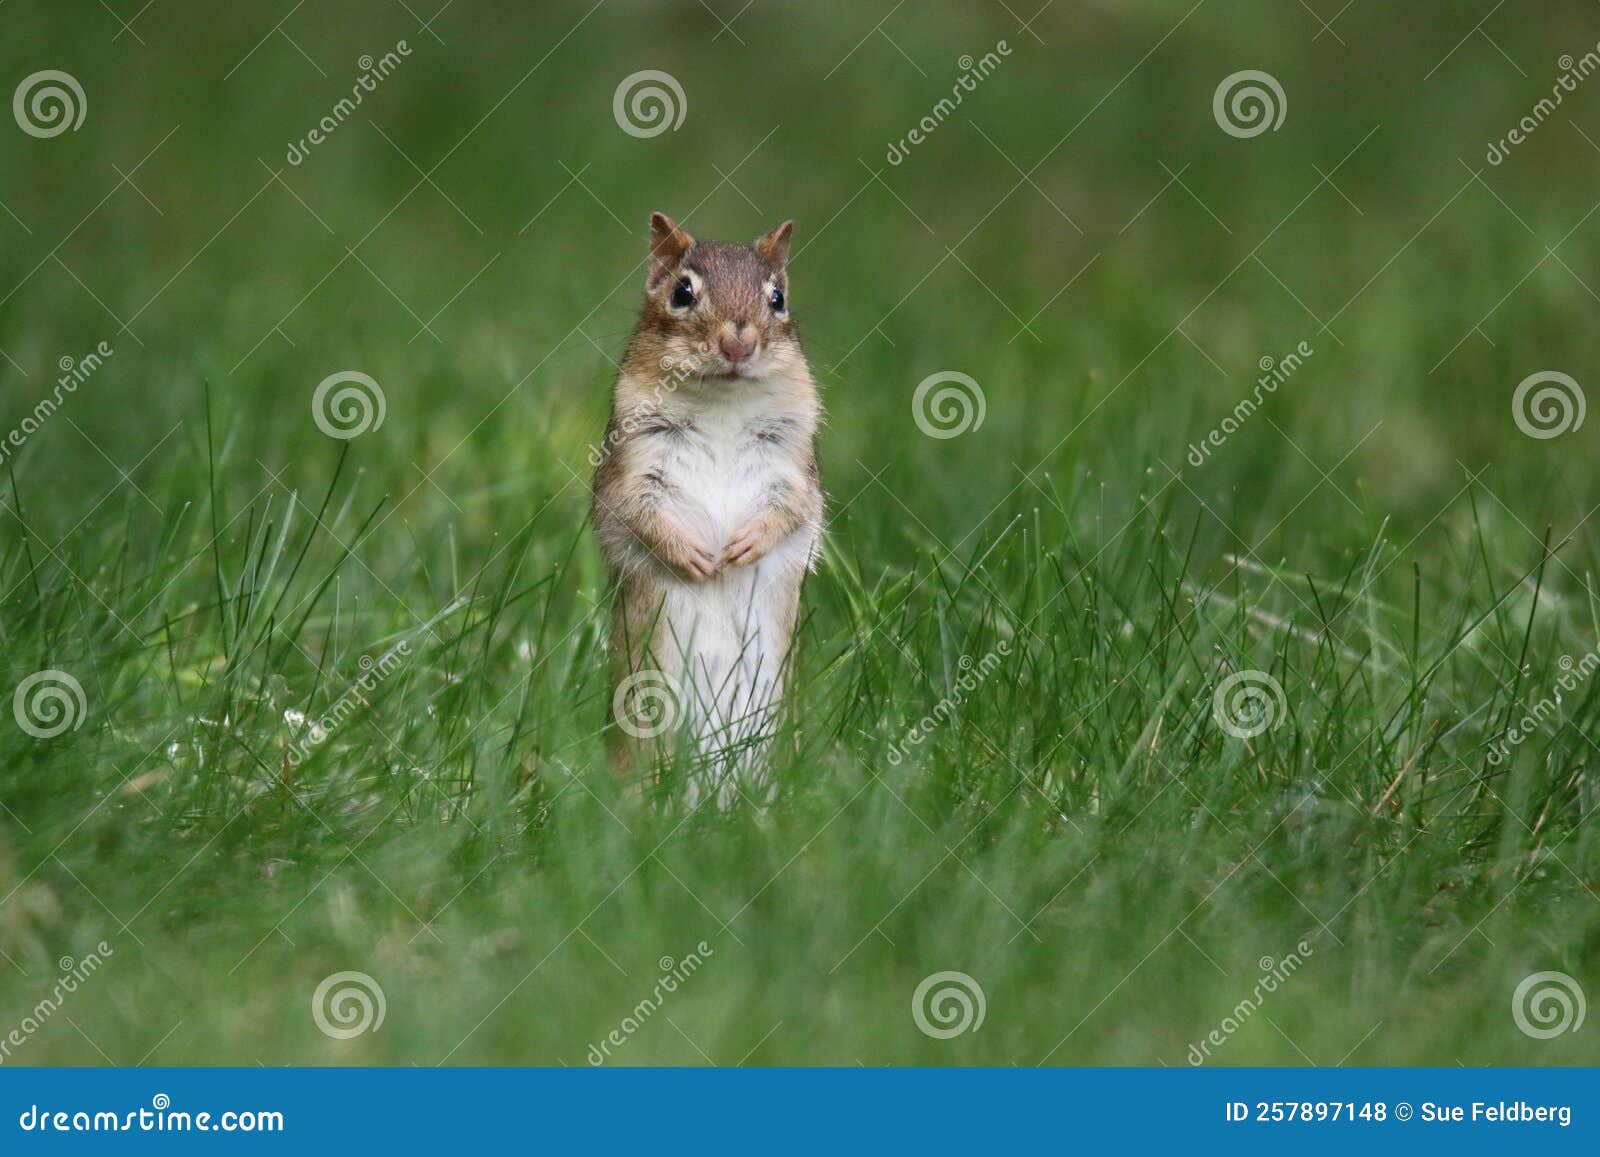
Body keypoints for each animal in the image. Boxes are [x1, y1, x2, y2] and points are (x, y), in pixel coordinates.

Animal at [592, 212, 824, 807]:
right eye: (682, 292)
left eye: (777, 298)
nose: (738, 342)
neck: (723, 404)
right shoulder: (632, 467)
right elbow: (637, 512)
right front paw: (692, 556)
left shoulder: (794, 468)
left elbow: (792, 509)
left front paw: (746, 545)